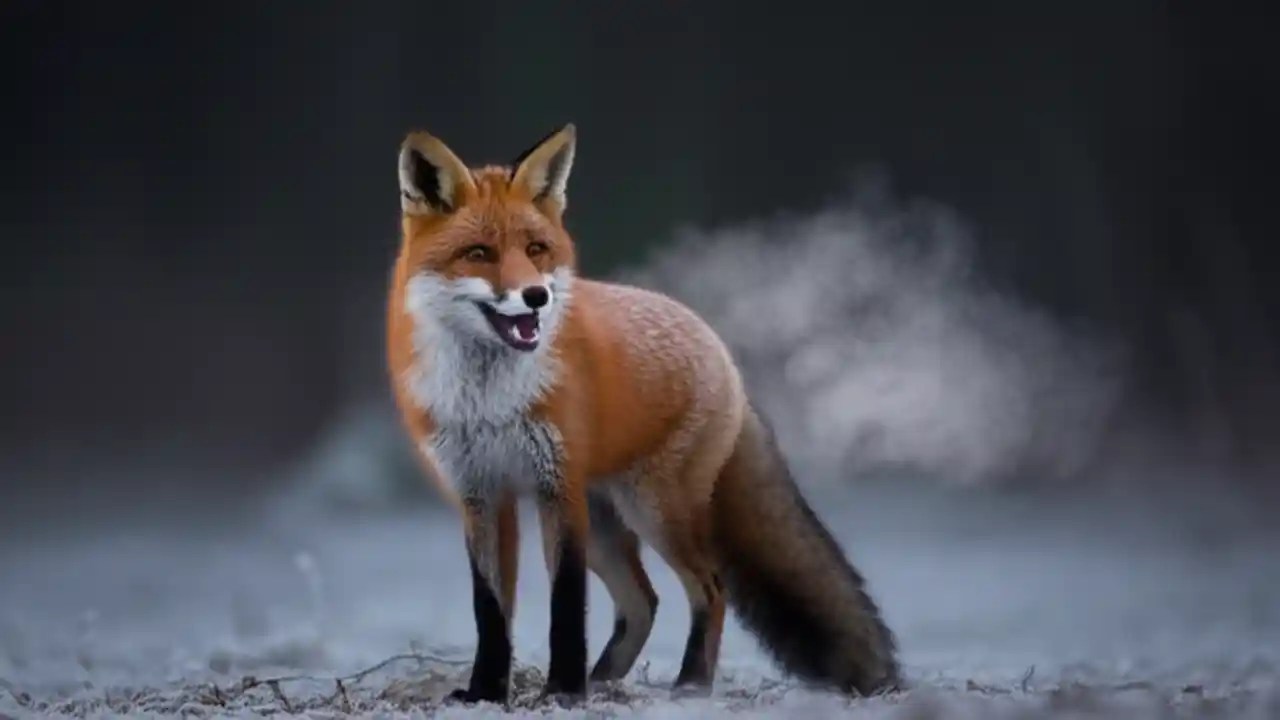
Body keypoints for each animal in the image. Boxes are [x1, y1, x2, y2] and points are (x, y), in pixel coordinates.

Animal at [385, 123, 901, 705]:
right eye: (479, 252)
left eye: (536, 249)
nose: (536, 296)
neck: (489, 399)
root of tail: (719, 349)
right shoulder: (481, 495)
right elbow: (490, 612)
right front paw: (487, 692)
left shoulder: (557, 489)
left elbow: (566, 605)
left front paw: (563, 691)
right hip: (609, 528)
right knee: (643, 602)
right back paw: (604, 680)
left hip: (654, 510)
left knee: (710, 588)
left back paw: (688, 683)